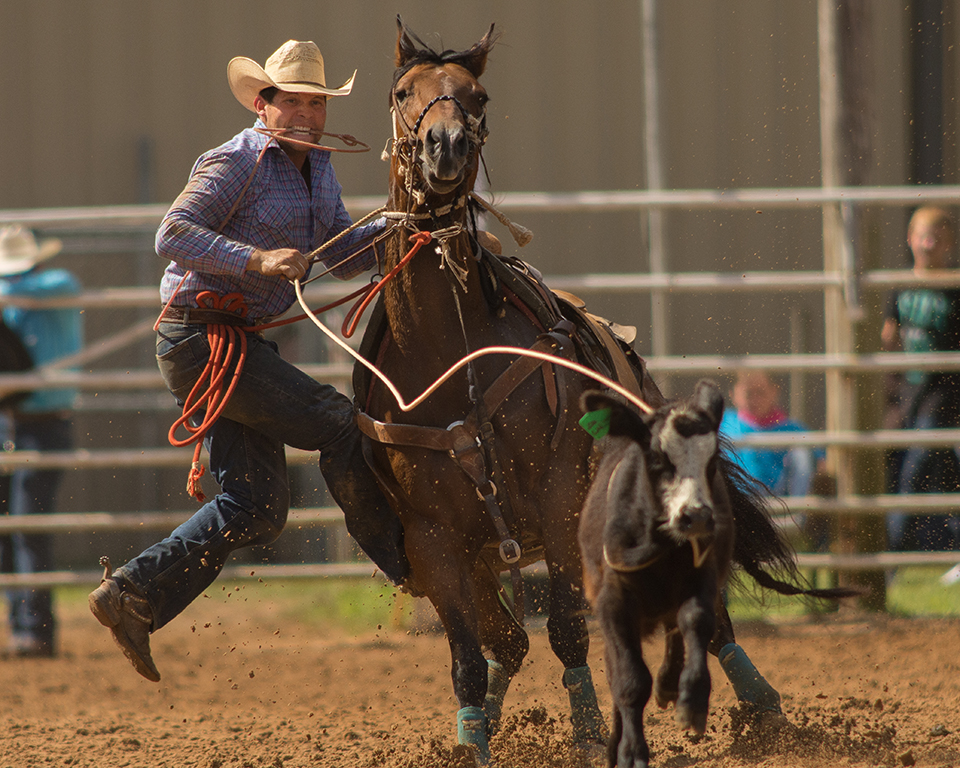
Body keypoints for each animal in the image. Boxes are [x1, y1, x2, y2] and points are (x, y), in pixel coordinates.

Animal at [353, 18, 854, 762]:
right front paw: (474, 740)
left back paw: (761, 708)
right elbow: (470, 653)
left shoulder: (561, 502)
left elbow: (567, 628)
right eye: (401, 92)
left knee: (707, 615)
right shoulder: (432, 538)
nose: (446, 144)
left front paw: (590, 732)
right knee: (509, 642)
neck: (451, 357)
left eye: (478, 96)